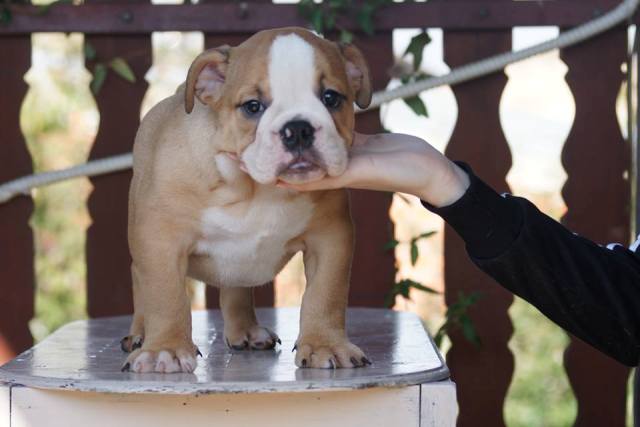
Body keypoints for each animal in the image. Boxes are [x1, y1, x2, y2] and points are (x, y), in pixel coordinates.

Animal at [122, 27, 372, 374]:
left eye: (331, 98)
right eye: (252, 106)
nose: (298, 129)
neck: (253, 189)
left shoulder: (331, 237)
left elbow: (326, 294)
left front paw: (326, 344)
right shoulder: (160, 240)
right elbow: (165, 295)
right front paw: (166, 349)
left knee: (236, 288)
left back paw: (246, 331)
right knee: (139, 280)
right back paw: (139, 333)